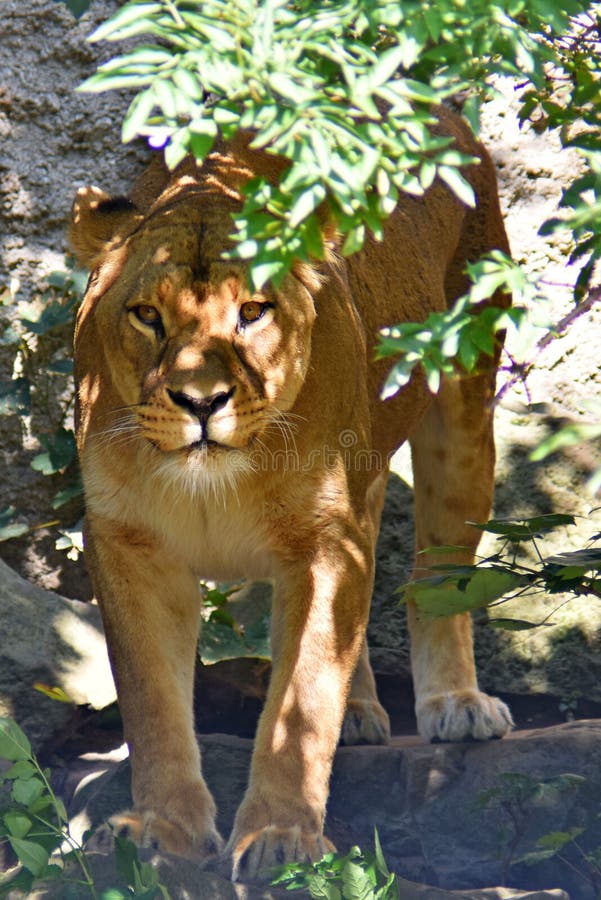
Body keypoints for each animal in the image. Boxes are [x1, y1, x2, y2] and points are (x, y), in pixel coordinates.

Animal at [70, 105, 513, 881]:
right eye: (148, 316)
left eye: (252, 311)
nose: (200, 401)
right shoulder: (128, 542)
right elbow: (152, 700)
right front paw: (163, 829)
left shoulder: (323, 539)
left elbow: (300, 699)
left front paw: (282, 839)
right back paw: (361, 713)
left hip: (463, 401)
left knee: (438, 567)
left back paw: (455, 704)